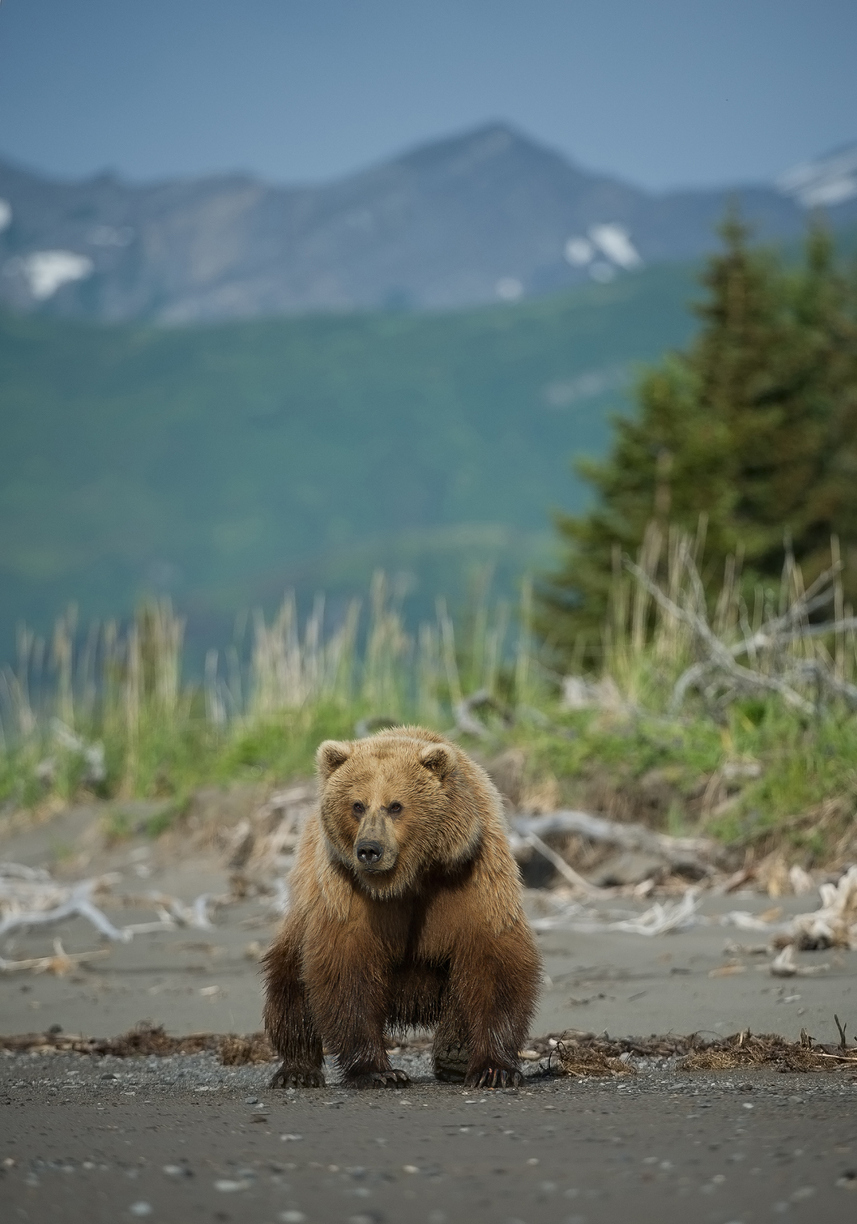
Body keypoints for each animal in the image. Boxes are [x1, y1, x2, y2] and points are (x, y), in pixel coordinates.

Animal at [263, 725, 542, 1089]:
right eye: (357, 805)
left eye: (395, 805)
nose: (369, 849)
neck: (411, 877)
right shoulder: (351, 887)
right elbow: (347, 965)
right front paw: (379, 1071)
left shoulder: (471, 875)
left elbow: (493, 957)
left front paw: (495, 1069)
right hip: (307, 894)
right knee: (290, 979)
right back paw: (297, 1070)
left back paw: (454, 1055)